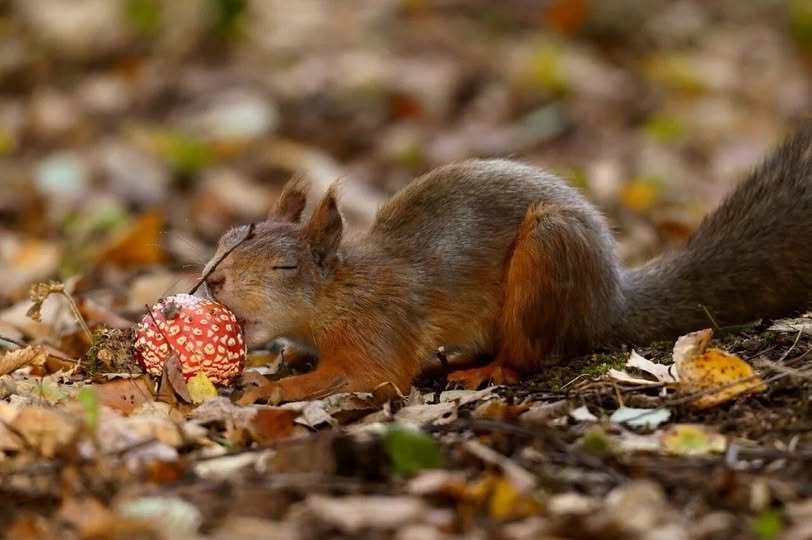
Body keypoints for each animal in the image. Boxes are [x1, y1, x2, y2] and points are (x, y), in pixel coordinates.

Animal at [205, 127, 812, 404]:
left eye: (285, 269)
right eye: (226, 238)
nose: (213, 278)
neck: (344, 289)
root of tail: (609, 300)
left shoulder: (379, 328)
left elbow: (368, 376)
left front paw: (274, 389)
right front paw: (274, 367)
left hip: (548, 253)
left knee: (527, 356)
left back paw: (487, 370)